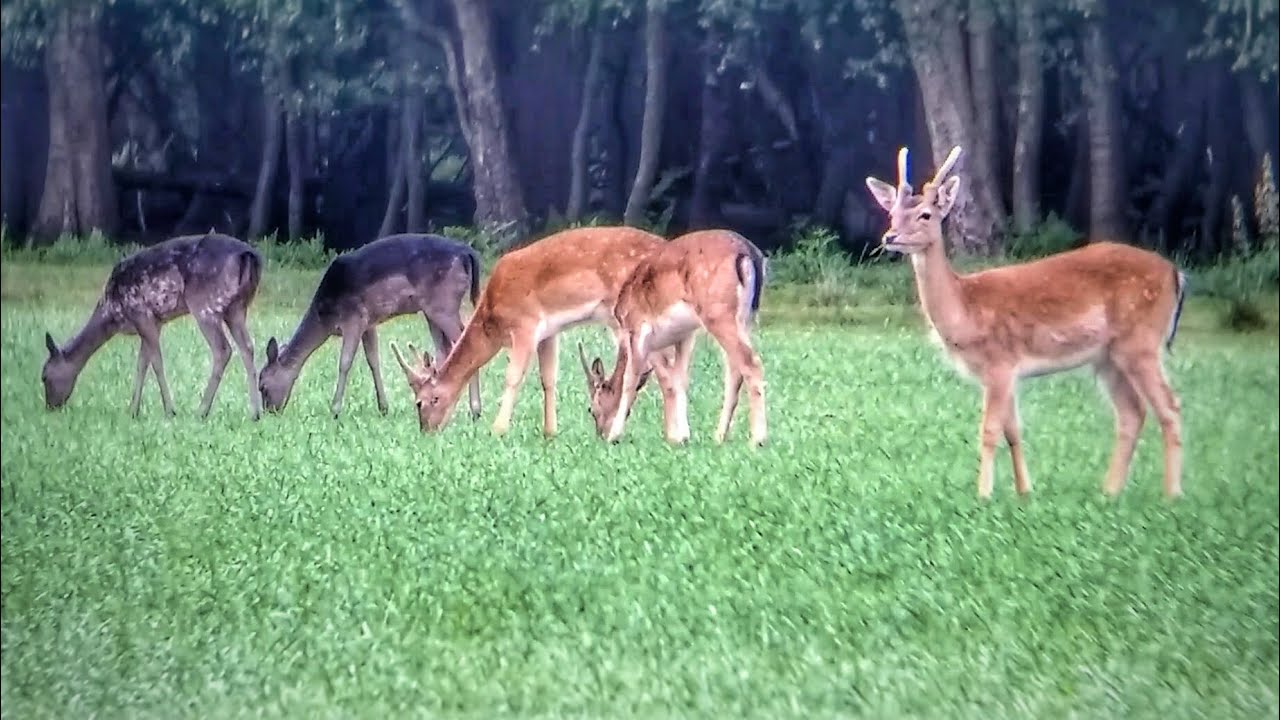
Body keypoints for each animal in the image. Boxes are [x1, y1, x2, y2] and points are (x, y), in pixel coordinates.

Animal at [41, 231, 263, 419]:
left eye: (44, 377)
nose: (51, 406)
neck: (112, 313)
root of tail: (249, 256)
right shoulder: (154, 322)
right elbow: (142, 363)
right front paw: (133, 410)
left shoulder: (141, 313)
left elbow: (155, 362)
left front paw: (169, 410)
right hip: (237, 308)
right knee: (247, 347)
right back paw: (255, 412)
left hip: (204, 304)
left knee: (223, 349)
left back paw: (201, 411)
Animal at [257, 233, 483, 419]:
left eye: (263, 386)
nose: (270, 412)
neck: (326, 317)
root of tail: (467, 253)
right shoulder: (368, 323)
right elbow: (373, 360)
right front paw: (384, 408)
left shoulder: (354, 318)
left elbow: (345, 362)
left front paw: (335, 410)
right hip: (432, 309)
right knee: (443, 349)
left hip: (443, 303)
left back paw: (475, 410)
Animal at [390, 225, 682, 437]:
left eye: (422, 402)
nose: (426, 430)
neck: (492, 320)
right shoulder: (548, 332)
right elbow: (548, 379)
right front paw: (550, 432)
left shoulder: (525, 324)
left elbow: (513, 377)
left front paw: (497, 430)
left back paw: (672, 435)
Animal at [577, 229, 768, 447]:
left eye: (591, 409)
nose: (600, 434)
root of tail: (749, 254)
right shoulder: (685, 335)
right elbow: (680, 379)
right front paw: (682, 436)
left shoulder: (637, 328)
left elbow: (629, 380)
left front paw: (615, 435)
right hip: (746, 318)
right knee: (735, 369)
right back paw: (719, 436)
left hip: (718, 313)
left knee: (750, 363)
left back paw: (757, 439)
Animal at [864, 145, 1188, 500]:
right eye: (892, 213)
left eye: (925, 214)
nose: (890, 236)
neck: (966, 309)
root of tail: (1176, 274)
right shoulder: (1004, 373)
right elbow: (1013, 431)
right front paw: (1024, 491)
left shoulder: (1000, 363)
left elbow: (989, 430)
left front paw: (983, 494)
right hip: (1108, 357)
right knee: (1132, 413)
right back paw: (1109, 491)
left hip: (1141, 342)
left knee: (1169, 407)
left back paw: (1172, 494)